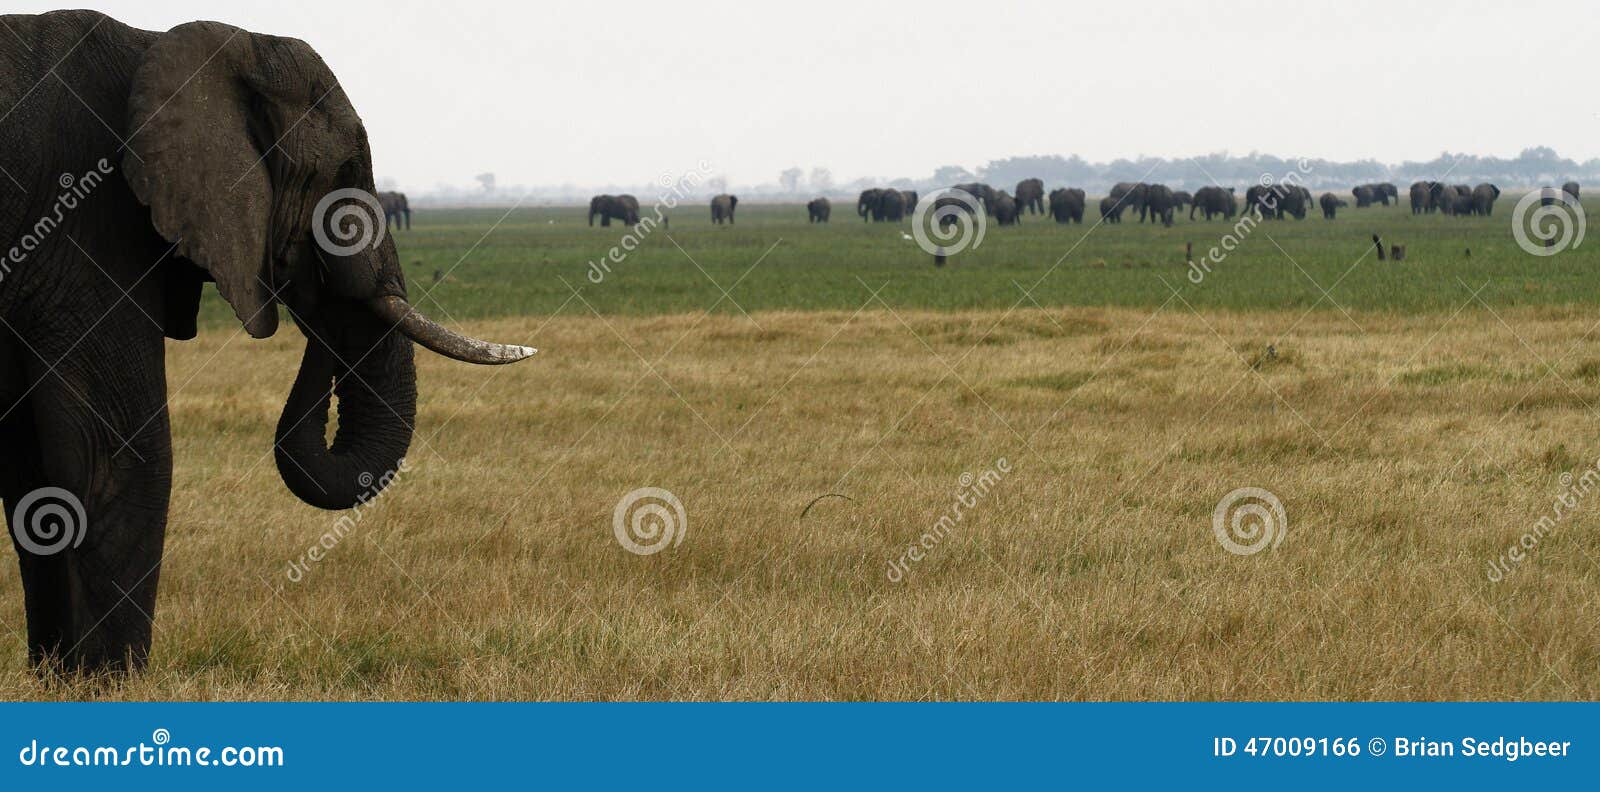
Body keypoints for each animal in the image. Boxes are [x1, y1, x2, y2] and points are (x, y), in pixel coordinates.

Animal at [0, 11, 535, 675]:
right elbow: (120, 452)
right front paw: (106, 681)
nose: (313, 287)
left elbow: (31, 470)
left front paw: (55, 677)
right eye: (346, 178)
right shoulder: (82, 222)